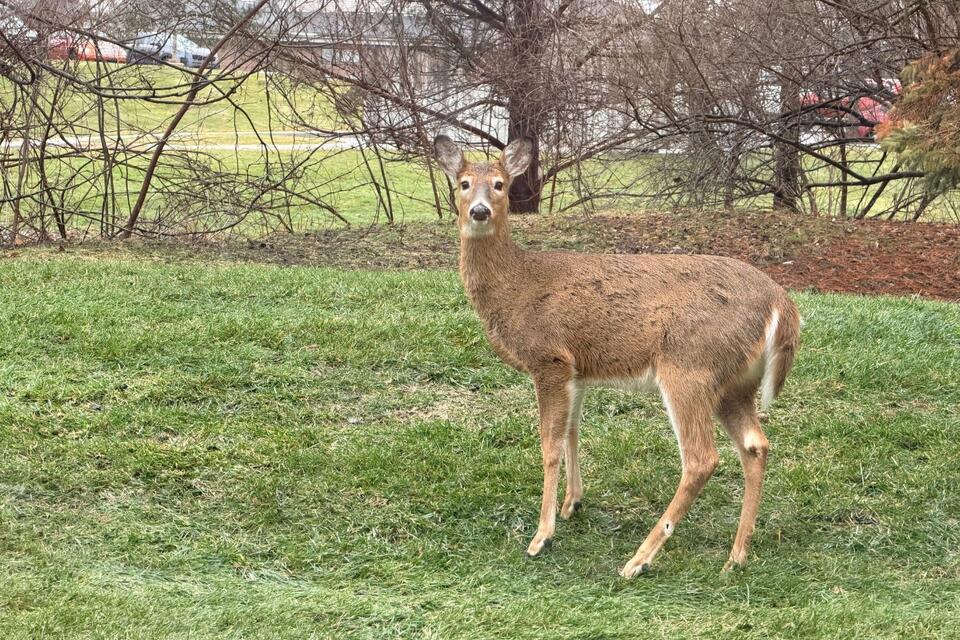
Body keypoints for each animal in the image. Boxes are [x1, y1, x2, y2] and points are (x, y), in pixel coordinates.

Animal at [433, 134, 800, 577]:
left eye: (500, 185)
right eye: (464, 183)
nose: (480, 210)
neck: (517, 285)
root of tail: (781, 304)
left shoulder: (549, 358)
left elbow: (549, 444)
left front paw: (542, 536)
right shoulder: (575, 368)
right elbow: (572, 430)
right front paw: (572, 503)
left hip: (690, 366)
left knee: (701, 459)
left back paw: (638, 560)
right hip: (734, 383)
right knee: (755, 446)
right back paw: (736, 555)